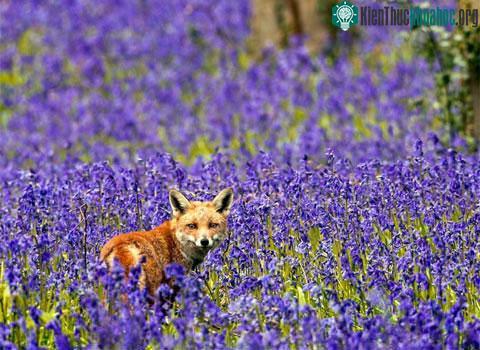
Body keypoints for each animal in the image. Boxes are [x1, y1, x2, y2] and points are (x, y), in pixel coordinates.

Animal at [98, 187, 233, 296]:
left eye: (212, 225)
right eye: (192, 226)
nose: (204, 241)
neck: (176, 242)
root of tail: (120, 246)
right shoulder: (172, 285)